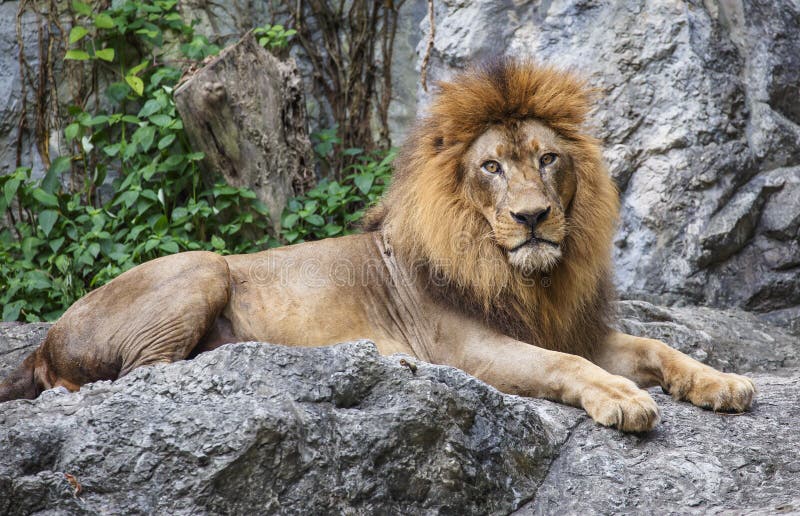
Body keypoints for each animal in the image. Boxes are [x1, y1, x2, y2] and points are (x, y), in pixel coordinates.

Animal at [0, 59, 754, 432]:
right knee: (141, 375)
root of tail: (42, 343)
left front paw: (722, 383)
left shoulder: (573, 325)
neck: (528, 276)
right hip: (201, 265)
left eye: (547, 160)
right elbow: (567, 367)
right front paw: (625, 401)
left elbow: (657, 347)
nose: (534, 216)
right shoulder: (471, 349)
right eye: (491, 167)